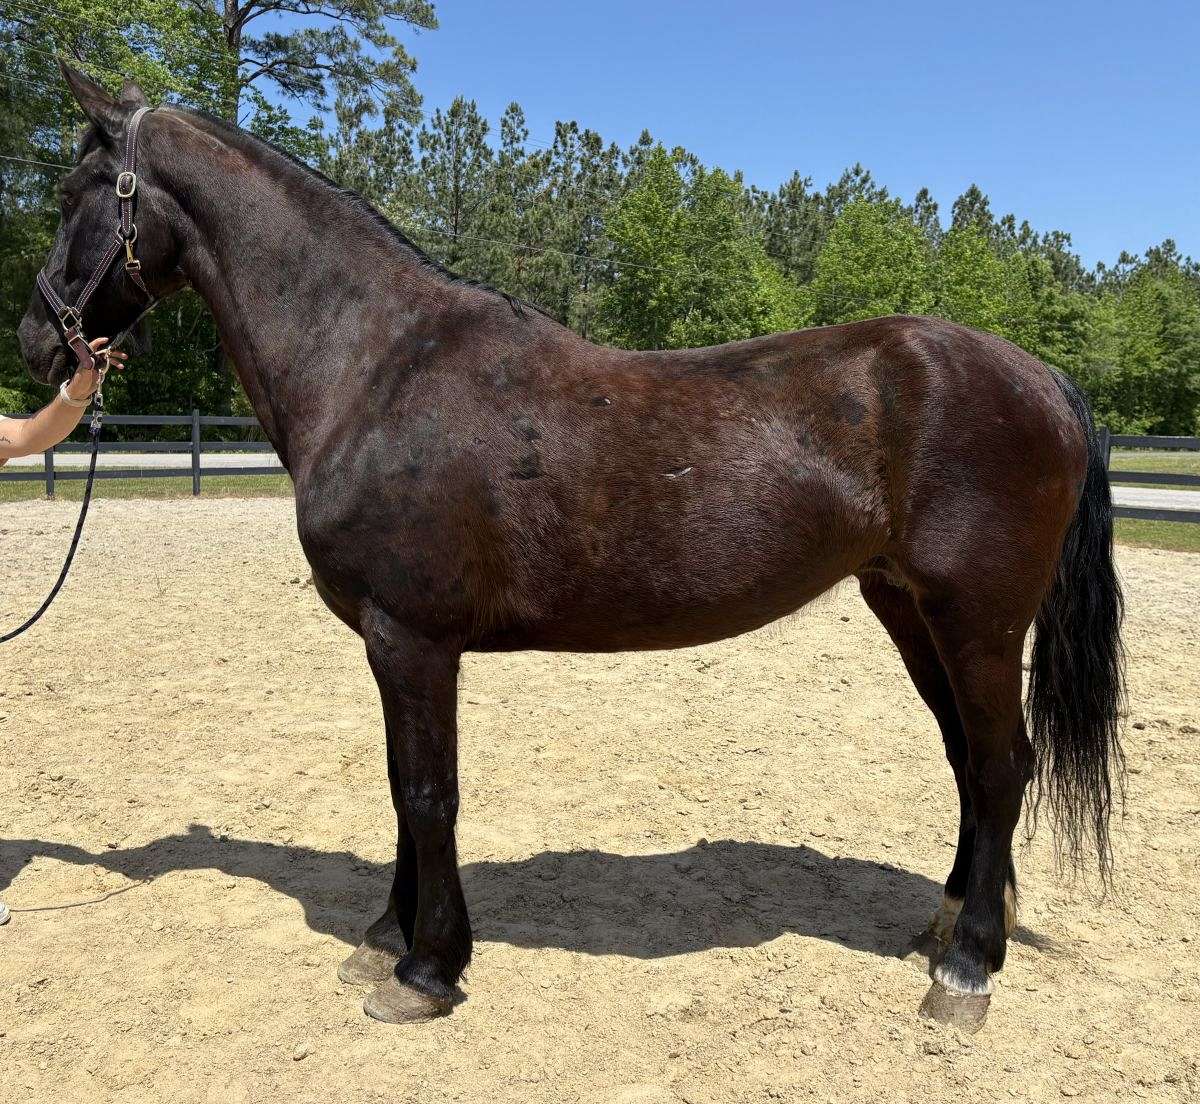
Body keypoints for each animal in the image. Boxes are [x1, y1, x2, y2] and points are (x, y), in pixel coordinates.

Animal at [18, 66, 1124, 1032]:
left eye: (75, 195)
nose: (37, 338)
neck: (375, 366)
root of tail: (1042, 378)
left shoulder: (411, 638)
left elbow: (428, 793)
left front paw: (427, 969)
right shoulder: (392, 645)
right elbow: (400, 788)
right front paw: (384, 938)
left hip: (979, 619)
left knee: (1001, 764)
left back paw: (967, 970)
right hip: (908, 607)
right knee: (969, 760)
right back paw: (949, 926)